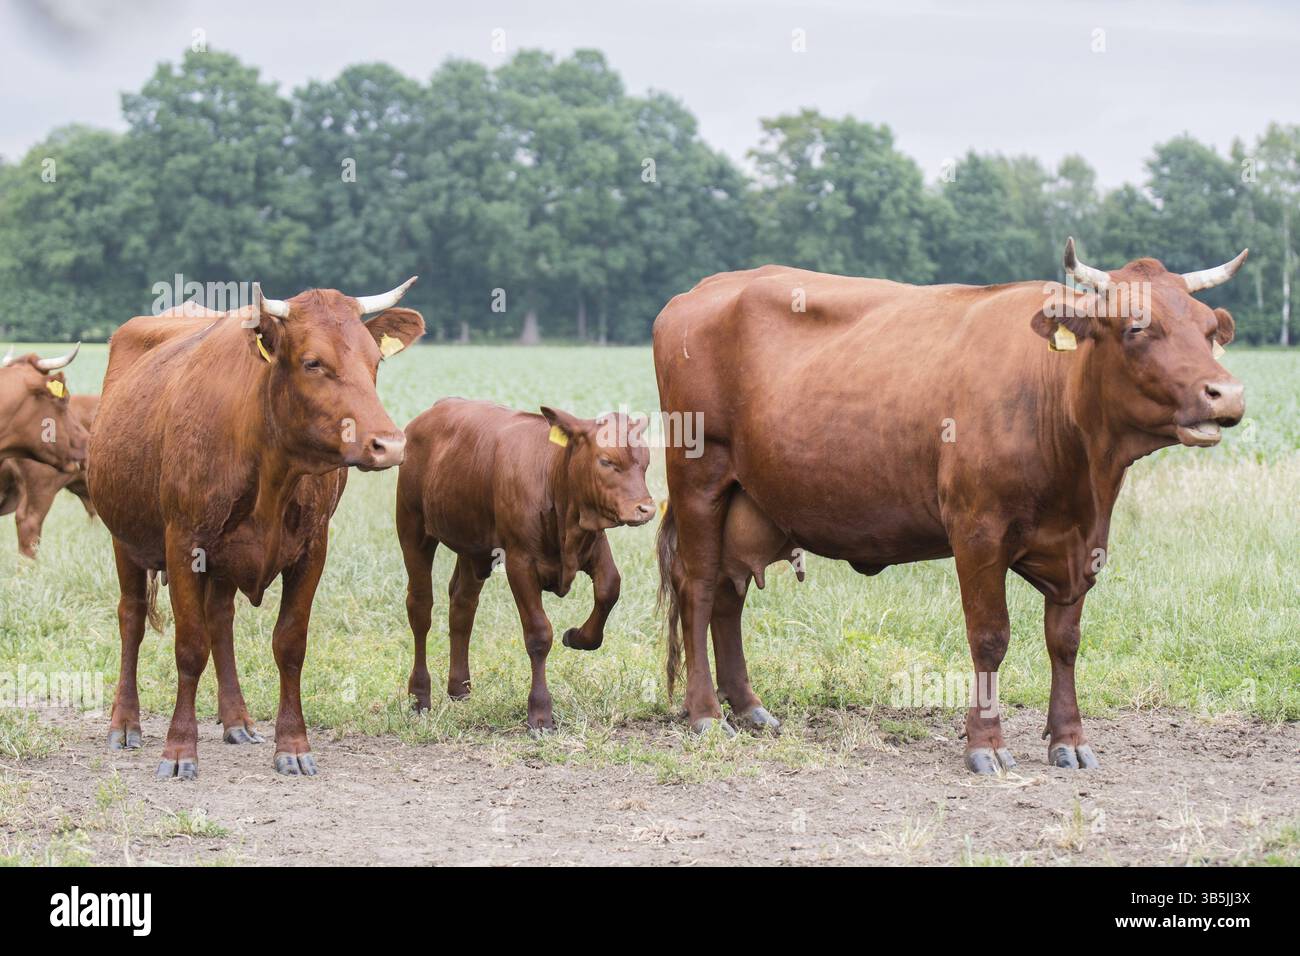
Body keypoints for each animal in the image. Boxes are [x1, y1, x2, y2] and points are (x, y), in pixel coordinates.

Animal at [89, 280, 424, 779]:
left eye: (375, 361)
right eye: (313, 362)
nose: (390, 445)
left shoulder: (312, 549)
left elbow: (289, 645)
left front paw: (294, 745)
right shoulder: (183, 542)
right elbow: (189, 647)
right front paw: (179, 750)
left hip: (223, 562)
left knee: (220, 620)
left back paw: (237, 720)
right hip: (124, 538)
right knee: (131, 617)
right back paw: (125, 723)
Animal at [397, 399, 655, 731]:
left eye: (645, 462)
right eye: (606, 461)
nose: (646, 508)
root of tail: (432, 411)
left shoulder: (594, 542)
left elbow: (610, 588)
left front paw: (578, 637)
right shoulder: (521, 563)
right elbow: (538, 634)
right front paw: (540, 712)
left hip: (473, 547)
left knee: (462, 605)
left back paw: (460, 688)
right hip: (412, 527)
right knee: (420, 608)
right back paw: (419, 695)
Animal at [653, 240, 1247, 773]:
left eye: (1208, 331)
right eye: (1136, 327)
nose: (1228, 393)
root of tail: (703, 289)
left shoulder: (1083, 544)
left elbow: (1065, 641)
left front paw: (1070, 740)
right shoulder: (977, 532)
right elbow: (990, 637)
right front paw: (985, 743)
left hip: (747, 501)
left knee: (728, 593)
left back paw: (748, 707)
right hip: (699, 480)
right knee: (699, 587)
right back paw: (706, 714)